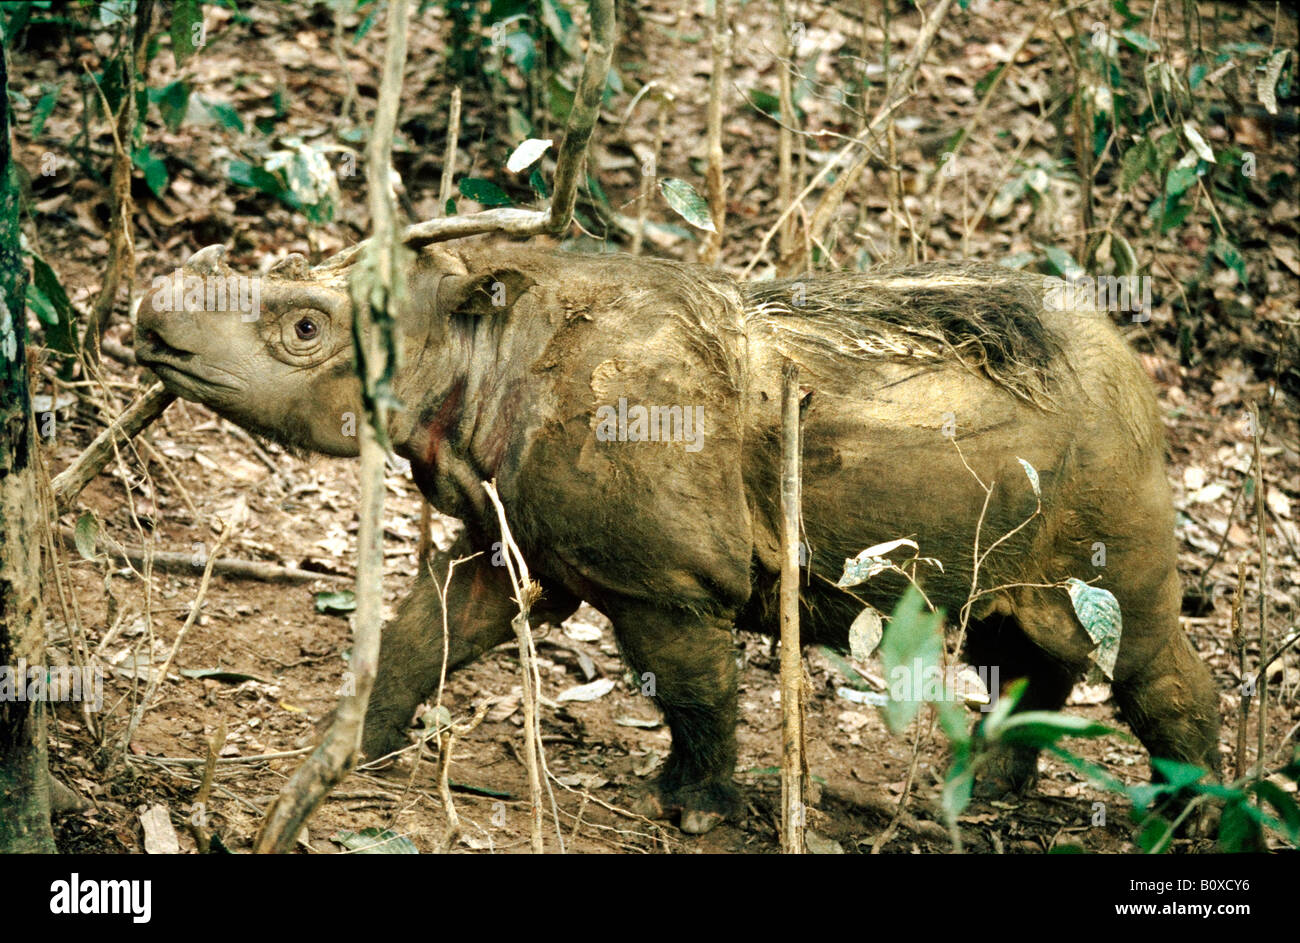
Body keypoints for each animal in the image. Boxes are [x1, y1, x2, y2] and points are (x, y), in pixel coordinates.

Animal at [135, 243, 1220, 834]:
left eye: (303, 331)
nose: (149, 317)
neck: (475, 338)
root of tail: (1133, 361)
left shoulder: (662, 575)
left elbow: (692, 684)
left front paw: (695, 809)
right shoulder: (511, 532)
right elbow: (426, 631)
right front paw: (352, 751)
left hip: (1109, 451)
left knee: (1130, 634)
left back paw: (1189, 816)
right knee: (1019, 633)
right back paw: (987, 793)